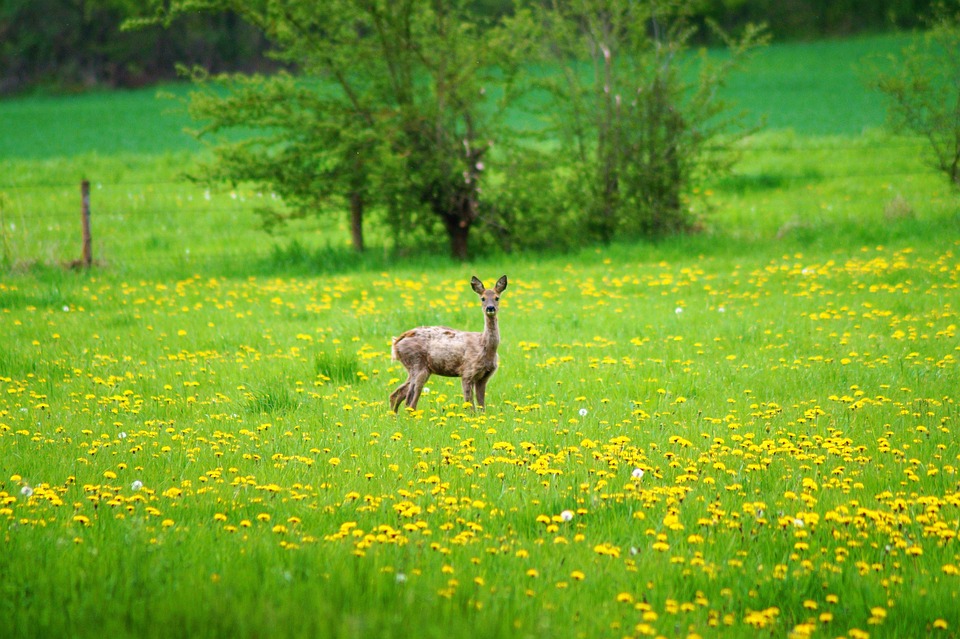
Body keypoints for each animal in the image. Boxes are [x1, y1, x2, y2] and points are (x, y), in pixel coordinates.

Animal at [390, 275, 508, 413]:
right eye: (482, 298)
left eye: (497, 297)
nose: (490, 308)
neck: (485, 347)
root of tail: (396, 344)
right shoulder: (467, 372)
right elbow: (470, 405)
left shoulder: (484, 377)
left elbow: (482, 406)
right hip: (417, 364)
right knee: (409, 402)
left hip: (416, 368)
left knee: (396, 394)